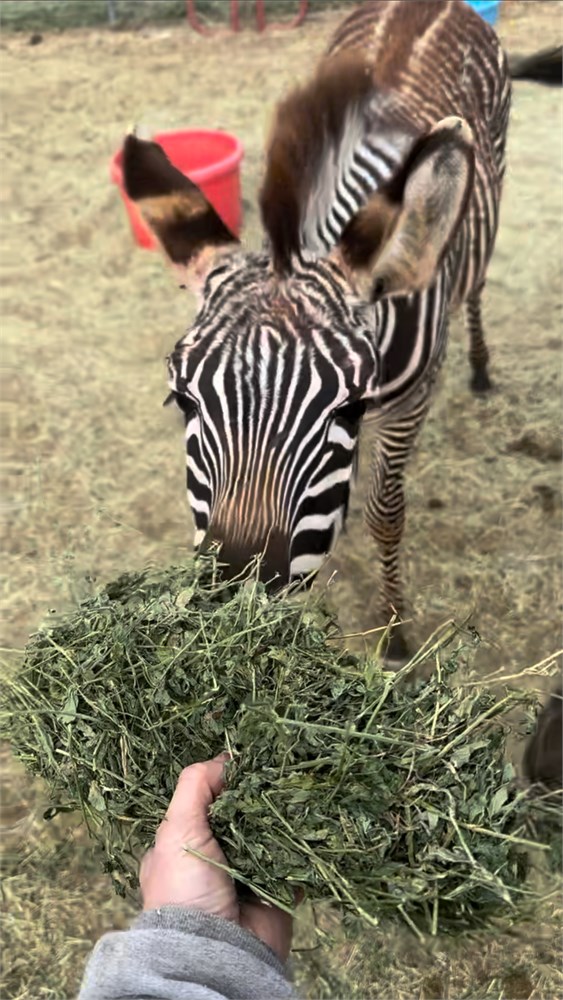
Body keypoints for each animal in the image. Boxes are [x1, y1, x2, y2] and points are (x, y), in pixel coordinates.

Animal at [123, 0, 511, 663]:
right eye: (183, 400)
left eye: (349, 409)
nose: (237, 598)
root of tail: (432, 4)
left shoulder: (410, 404)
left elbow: (387, 512)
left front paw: (395, 631)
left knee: (479, 285)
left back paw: (482, 367)